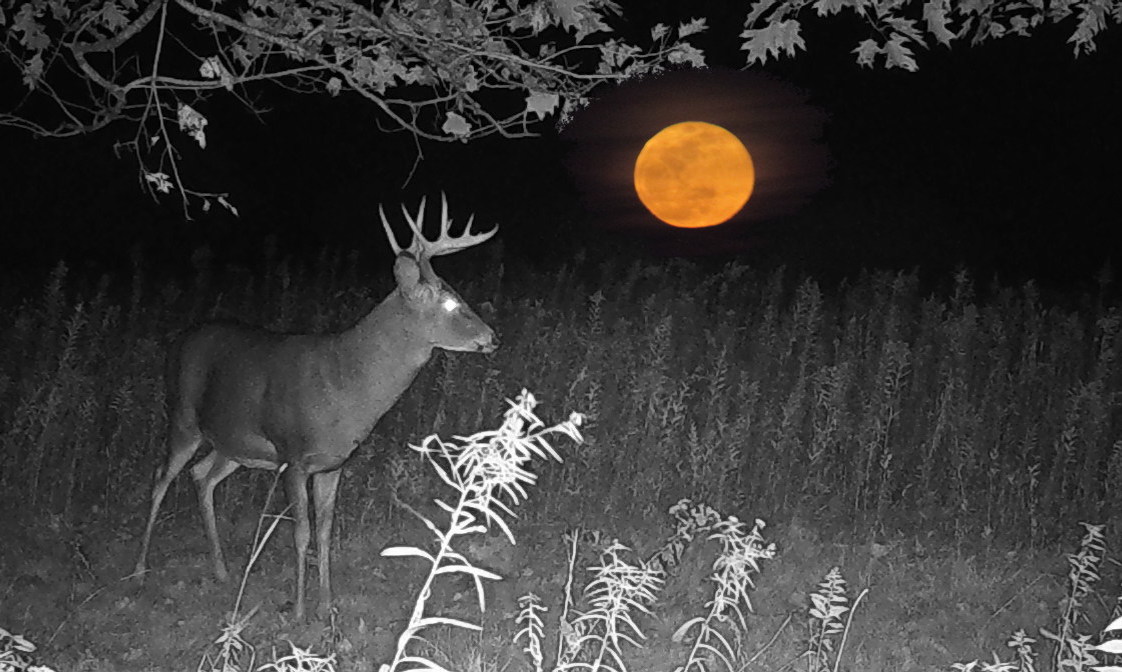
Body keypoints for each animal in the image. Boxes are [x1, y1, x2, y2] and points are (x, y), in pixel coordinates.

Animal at [133, 194, 498, 620]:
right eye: (452, 304)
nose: (492, 337)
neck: (346, 386)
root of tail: (178, 341)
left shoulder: (332, 464)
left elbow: (324, 532)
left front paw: (326, 606)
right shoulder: (293, 457)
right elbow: (301, 533)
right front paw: (299, 611)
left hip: (233, 443)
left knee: (202, 476)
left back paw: (221, 571)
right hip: (184, 417)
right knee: (161, 479)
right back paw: (139, 572)